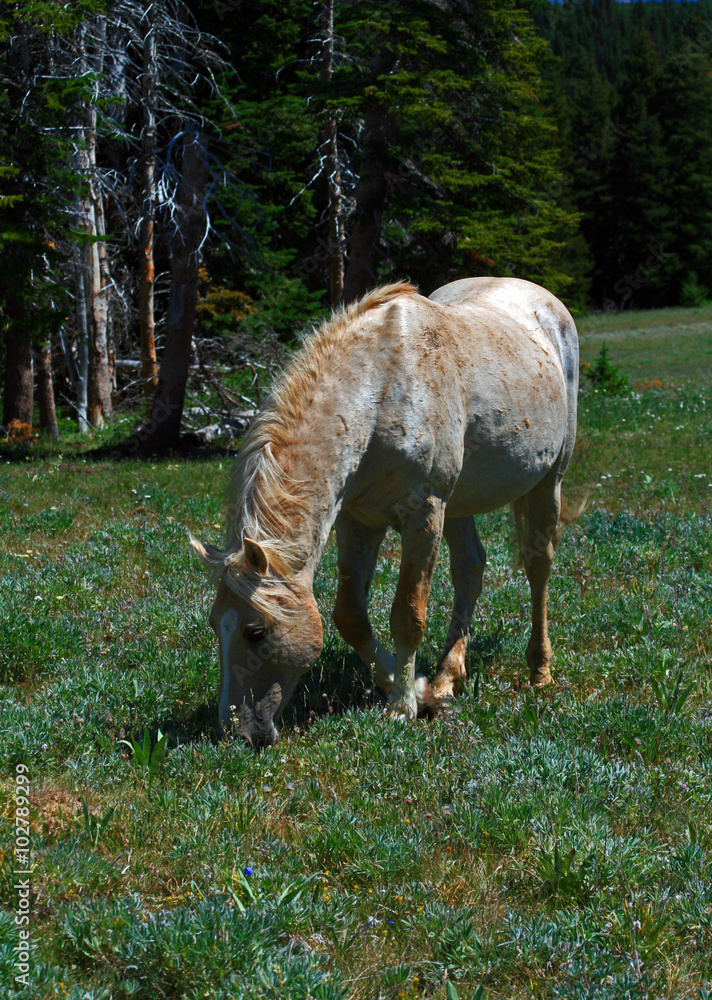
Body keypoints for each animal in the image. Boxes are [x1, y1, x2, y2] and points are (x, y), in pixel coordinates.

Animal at [190, 277, 579, 746]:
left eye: (255, 632)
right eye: (215, 625)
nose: (237, 735)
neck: (380, 391)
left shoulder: (424, 516)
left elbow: (408, 616)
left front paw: (401, 707)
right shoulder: (358, 521)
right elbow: (350, 617)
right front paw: (419, 689)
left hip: (548, 480)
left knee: (538, 566)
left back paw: (539, 670)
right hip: (460, 503)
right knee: (470, 568)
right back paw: (448, 676)